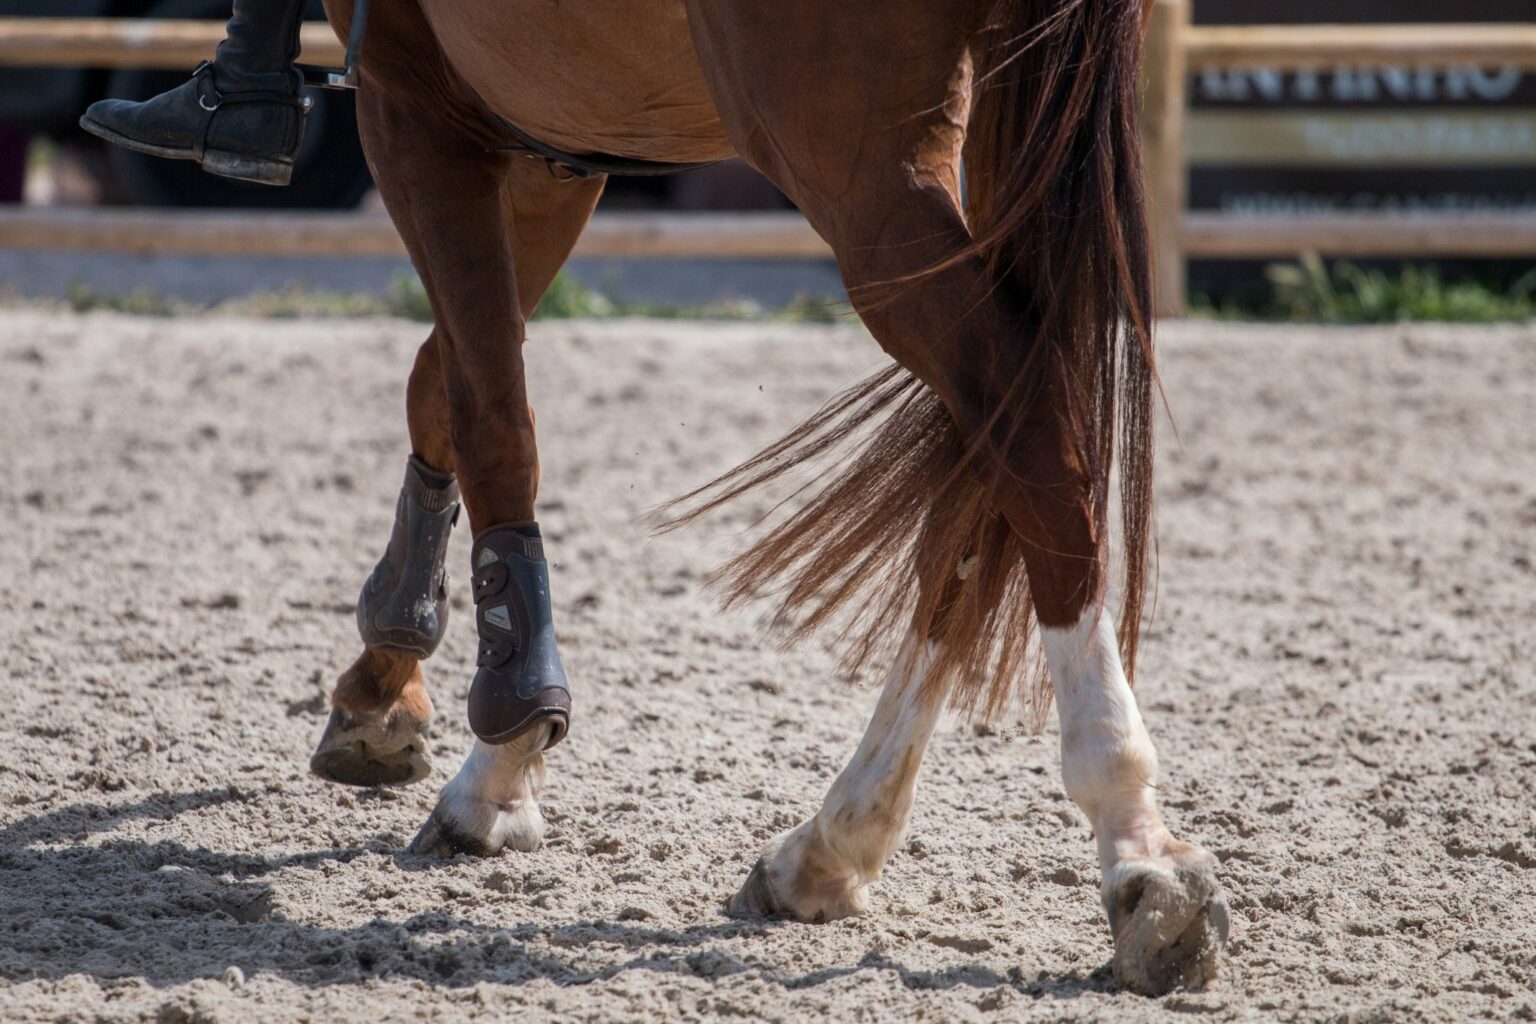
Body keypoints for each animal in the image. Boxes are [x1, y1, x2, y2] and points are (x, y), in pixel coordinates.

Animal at [305, 0, 1228, 995]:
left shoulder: (412, 102)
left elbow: (485, 406)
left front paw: (490, 749)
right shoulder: (547, 141)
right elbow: (441, 381)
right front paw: (392, 684)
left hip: (863, 170)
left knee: (1029, 438)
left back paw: (1137, 848)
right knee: (981, 490)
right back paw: (832, 843)